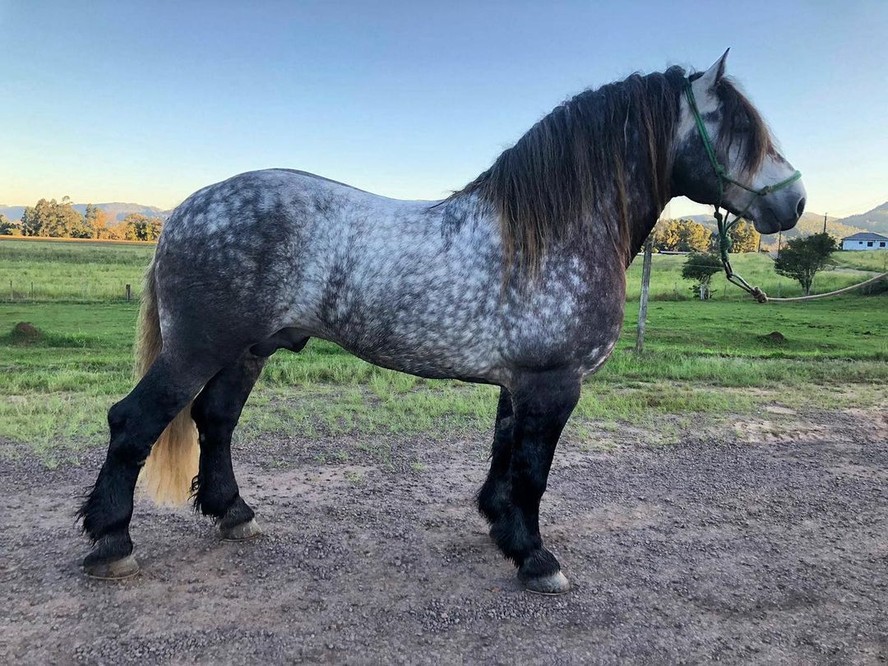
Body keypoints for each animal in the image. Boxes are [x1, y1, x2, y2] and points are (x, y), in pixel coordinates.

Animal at [79, 52, 805, 594]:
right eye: (739, 127)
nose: (795, 202)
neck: (550, 234)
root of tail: (184, 211)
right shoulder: (552, 383)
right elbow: (533, 471)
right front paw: (537, 560)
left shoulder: (520, 383)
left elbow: (505, 456)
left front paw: (502, 530)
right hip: (198, 350)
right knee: (134, 423)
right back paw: (111, 541)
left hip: (248, 350)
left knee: (216, 421)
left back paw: (233, 513)